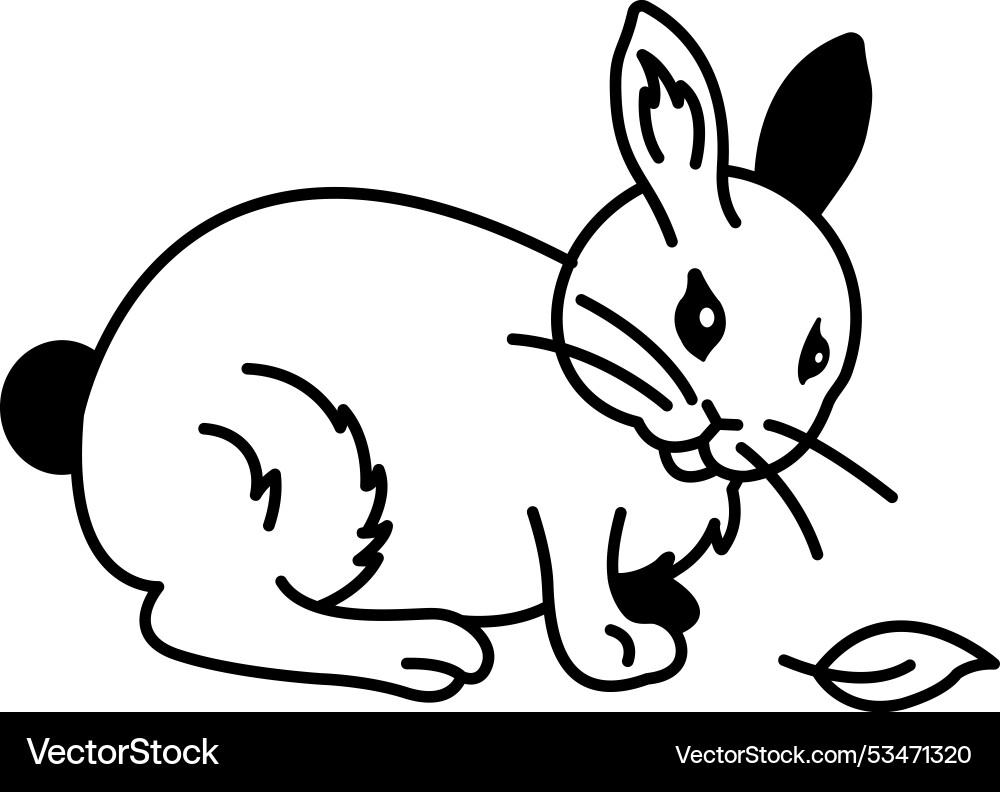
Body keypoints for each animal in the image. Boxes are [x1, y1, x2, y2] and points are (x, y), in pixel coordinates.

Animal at [0, 2, 893, 701]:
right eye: (699, 317)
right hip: (285, 464)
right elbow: (580, 585)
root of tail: (90, 432)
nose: (738, 433)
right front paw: (622, 652)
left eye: (818, 358)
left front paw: (669, 611)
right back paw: (425, 650)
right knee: (208, 614)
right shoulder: (569, 515)